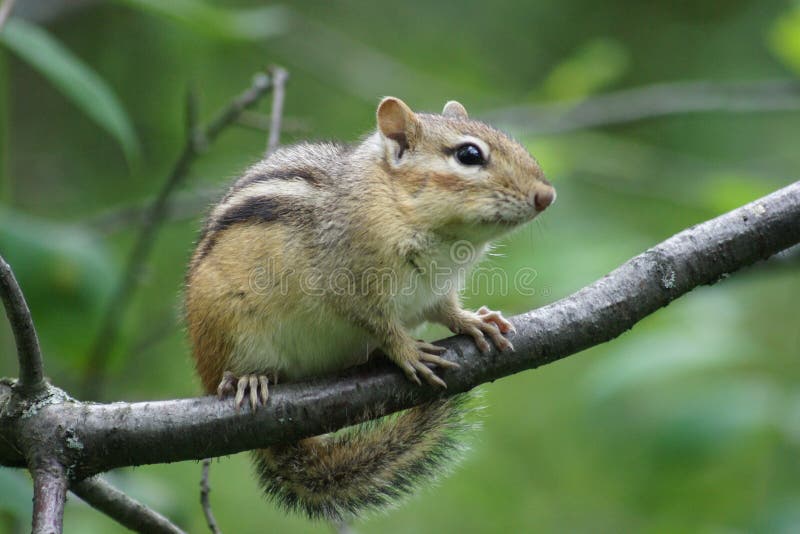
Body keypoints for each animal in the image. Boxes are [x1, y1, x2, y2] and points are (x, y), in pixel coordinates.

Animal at [184, 97, 555, 521]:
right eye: (469, 154)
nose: (547, 196)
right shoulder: (348, 283)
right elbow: (378, 322)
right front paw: (406, 350)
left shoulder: (437, 290)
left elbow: (444, 310)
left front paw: (475, 321)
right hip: (228, 331)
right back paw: (248, 379)